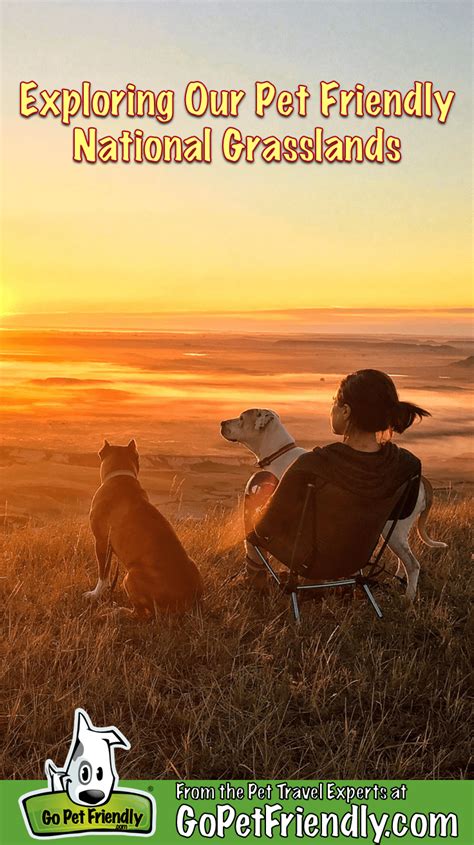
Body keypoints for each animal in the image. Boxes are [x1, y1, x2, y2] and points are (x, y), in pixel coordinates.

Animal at [86, 442, 203, 612]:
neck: (120, 476)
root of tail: (189, 601)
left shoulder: (101, 542)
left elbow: (103, 574)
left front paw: (95, 594)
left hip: (131, 576)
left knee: (140, 613)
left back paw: (116, 610)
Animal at [220, 408, 446, 600]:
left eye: (241, 418)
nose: (222, 422)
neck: (280, 454)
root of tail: (420, 479)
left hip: (395, 531)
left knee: (413, 565)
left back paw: (408, 598)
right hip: (396, 532)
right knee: (404, 560)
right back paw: (396, 580)